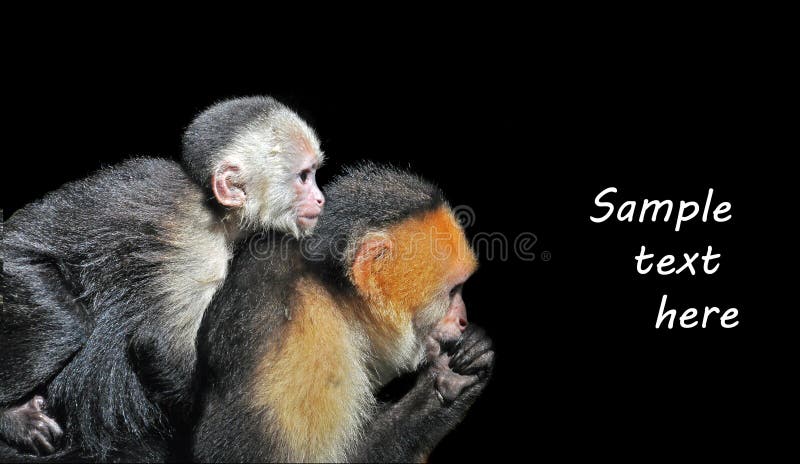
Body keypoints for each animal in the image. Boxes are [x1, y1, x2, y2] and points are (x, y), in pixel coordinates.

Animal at [0, 96, 325, 460]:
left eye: (314, 174)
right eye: (304, 177)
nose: (320, 198)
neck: (212, 205)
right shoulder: (200, 248)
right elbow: (158, 346)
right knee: (69, 321)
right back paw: (11, 418)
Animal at [193, 163, 495, 462]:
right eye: (453, 292)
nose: (463, 320)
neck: (331, 291)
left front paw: (453, 378)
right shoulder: (308, 344)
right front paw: (442, 382)